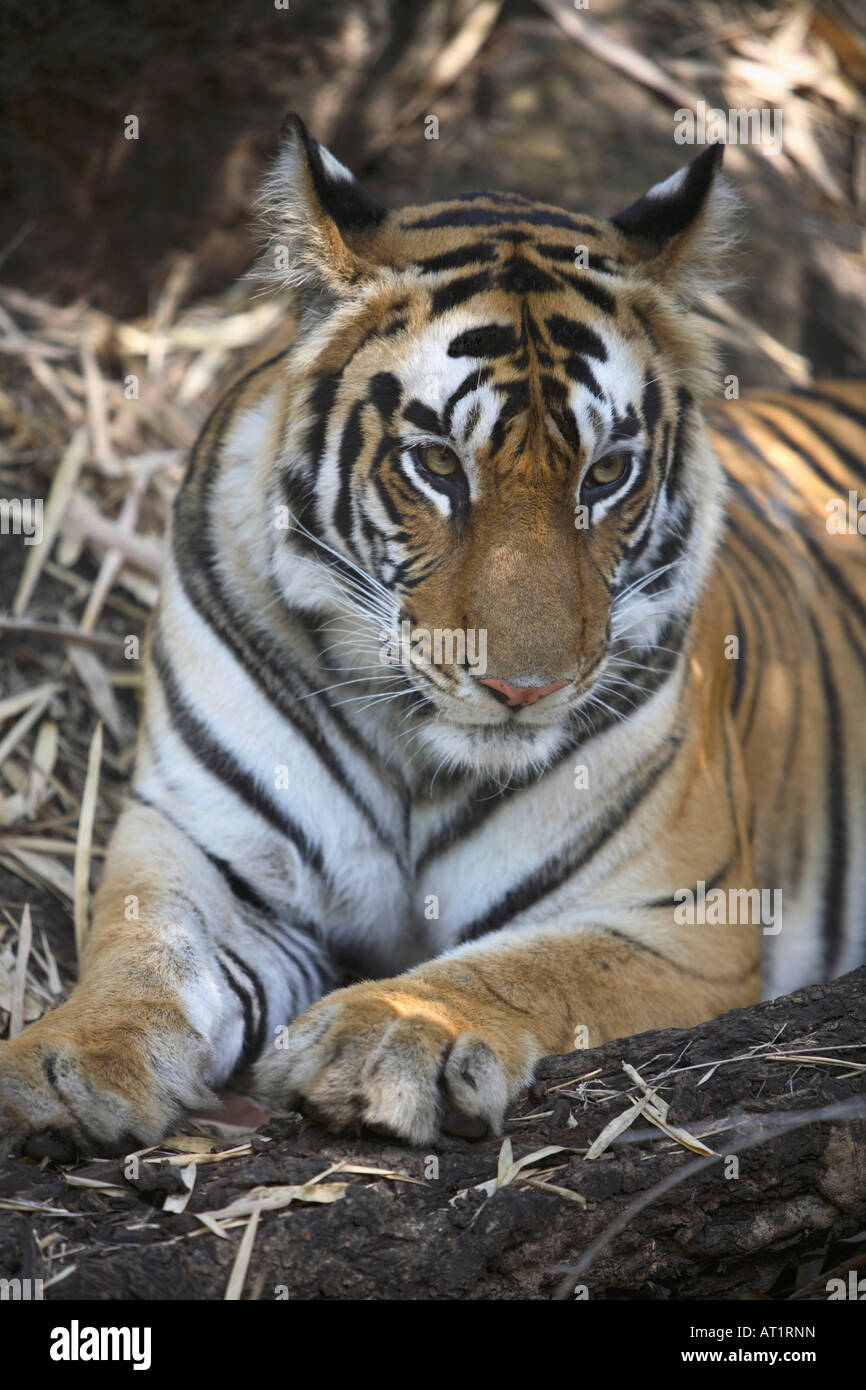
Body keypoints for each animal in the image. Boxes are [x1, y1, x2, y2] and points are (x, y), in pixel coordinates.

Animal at [2, 114, 865, 1159]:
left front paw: (387, 1036)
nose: (527, 689)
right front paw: (67, 1064)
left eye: (607, 474)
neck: (422, 757)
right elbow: (145, 951)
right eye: (438, 466)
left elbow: (528, 967)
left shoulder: (674, 918)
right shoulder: (208, 842)